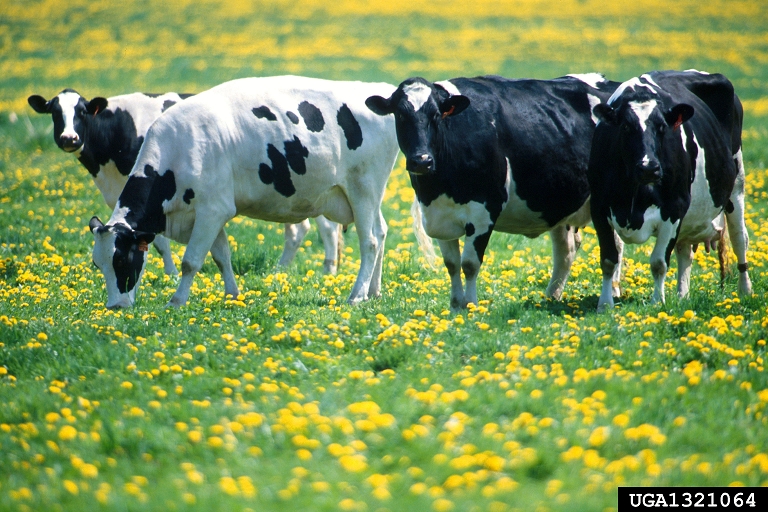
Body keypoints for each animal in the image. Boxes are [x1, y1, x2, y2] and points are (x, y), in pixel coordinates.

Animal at [28, 90, 342, 276]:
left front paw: (170, 274)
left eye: (81, 112)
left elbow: (159, 242)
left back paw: (327, 271)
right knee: (299, 228)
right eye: (54, 113)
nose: (69, 138)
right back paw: (280, 271)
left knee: (326, 227)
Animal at [88, 76, 398, 309]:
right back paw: (373, 291)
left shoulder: (212, 211)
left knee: (370, 241)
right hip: (368, 196)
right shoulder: (209, 213)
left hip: (363, 189)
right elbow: (221, 256)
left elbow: (191, 261)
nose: (115, 307)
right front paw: (232, 294)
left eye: (121, 259)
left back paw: (357, 295)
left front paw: (176, 301)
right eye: (97, 264)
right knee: (381, 232)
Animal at [366, 73, 621, 310]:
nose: (422, 160)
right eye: (400, 115)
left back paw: (610, 295)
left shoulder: (483, 212)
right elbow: (451, 264)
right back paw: (553, 296)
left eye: (436, 115)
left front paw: (470, 305)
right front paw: (455, 306)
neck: (437, 188)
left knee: (611, 245)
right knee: (569, 250)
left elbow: (469, 264)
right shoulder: (440, 217)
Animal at [588, 70, 752, 311]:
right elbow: (609, 260)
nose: (649, 167)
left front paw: (657, 302)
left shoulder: (674, 208)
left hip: (736, 185)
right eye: (625, 127)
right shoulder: (599, 208)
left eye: (662, 127)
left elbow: (658, 263)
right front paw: (605, 304)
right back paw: (683, 295)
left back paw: (745, 290)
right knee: (685, 252)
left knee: (740, 238)